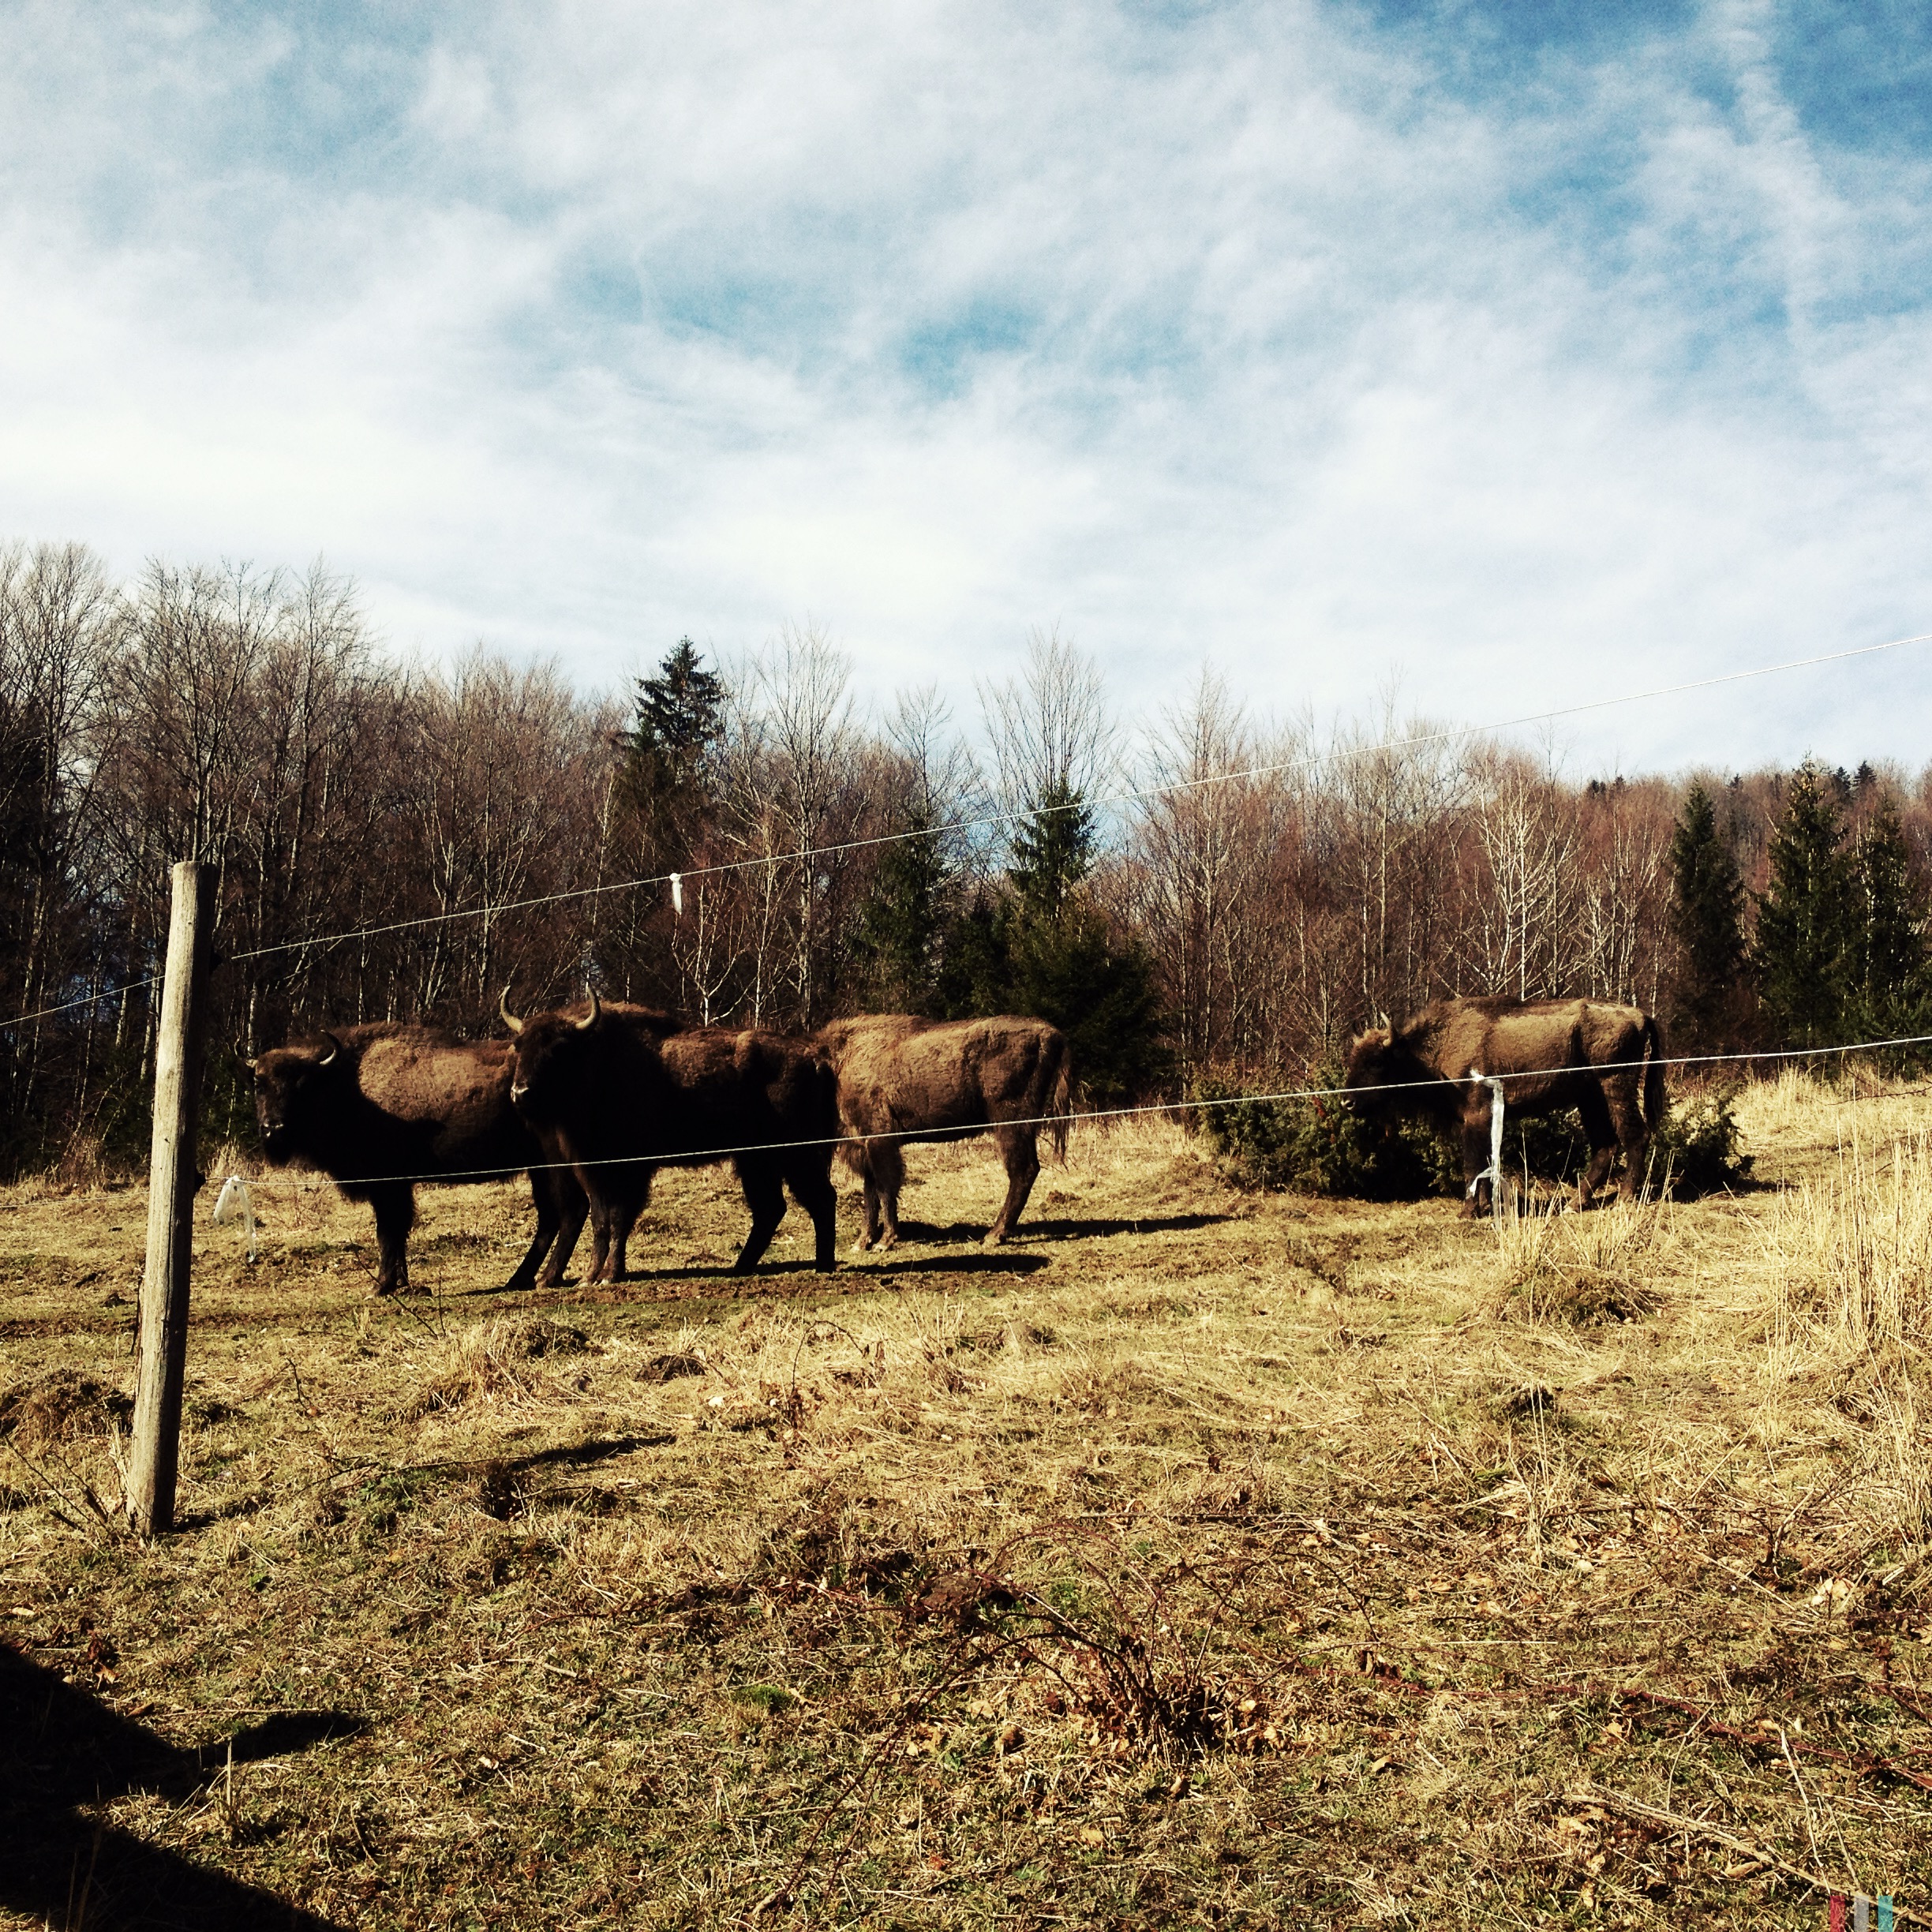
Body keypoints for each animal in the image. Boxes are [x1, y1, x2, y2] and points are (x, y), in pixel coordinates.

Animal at [250, 1023, 588, 1295]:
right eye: (259, 1084)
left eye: (302, 1085)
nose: (273, 1128)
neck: (348, 1083)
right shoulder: (396, 1188)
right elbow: (397, 1230)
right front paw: (401, 1283)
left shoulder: (387, 1185)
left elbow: (388, 1231)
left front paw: (381, 1286)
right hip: (538, 1170)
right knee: (550, 1217)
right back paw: (518, 1279)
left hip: (554, 1166)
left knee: (571, 1210)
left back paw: (546, 1278)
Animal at [500, 992, 841, 1281]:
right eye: (519, 1045)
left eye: (558, 1048)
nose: (520, 1093)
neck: (599, 1064)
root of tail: (816, 1061)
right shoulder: (593, 1172)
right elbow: (600, 1220)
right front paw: (590, 1277)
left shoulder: (632, 1171)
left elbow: (619, 1218)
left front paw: (608, 1275)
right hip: (756, 1161)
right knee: (771, 1208)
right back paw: (740, 1268)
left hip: (796, 1156)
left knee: (821, 1198)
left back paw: (822, 1266)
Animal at [813, 1014, 1072, 1249]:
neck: (838, 1065)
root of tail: (1052, 1034)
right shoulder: (863, 1146)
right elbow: (871, 1194)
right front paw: (862, 1243)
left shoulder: (881, 1140)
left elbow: (886, 1189)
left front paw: (885, 1241)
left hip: (1011, 1124)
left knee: (1023, 1171)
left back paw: (993, 1236)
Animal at [1343, 996, 1666, 1214]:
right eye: (1353, 1058)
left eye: (1377, 1062)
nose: (1347, 1101)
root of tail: (1640, 1015)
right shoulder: (1483, 1121)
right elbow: (1487, 1161)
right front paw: (1486, 1207)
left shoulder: (1476, 1116)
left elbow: (1472, 1164)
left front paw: (1468, 1211)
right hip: (1590, 1098)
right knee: (1605, 1146)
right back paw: (1574, 1203)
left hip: (1615, 1086)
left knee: (1635, 1136)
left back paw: (1624, 1199)